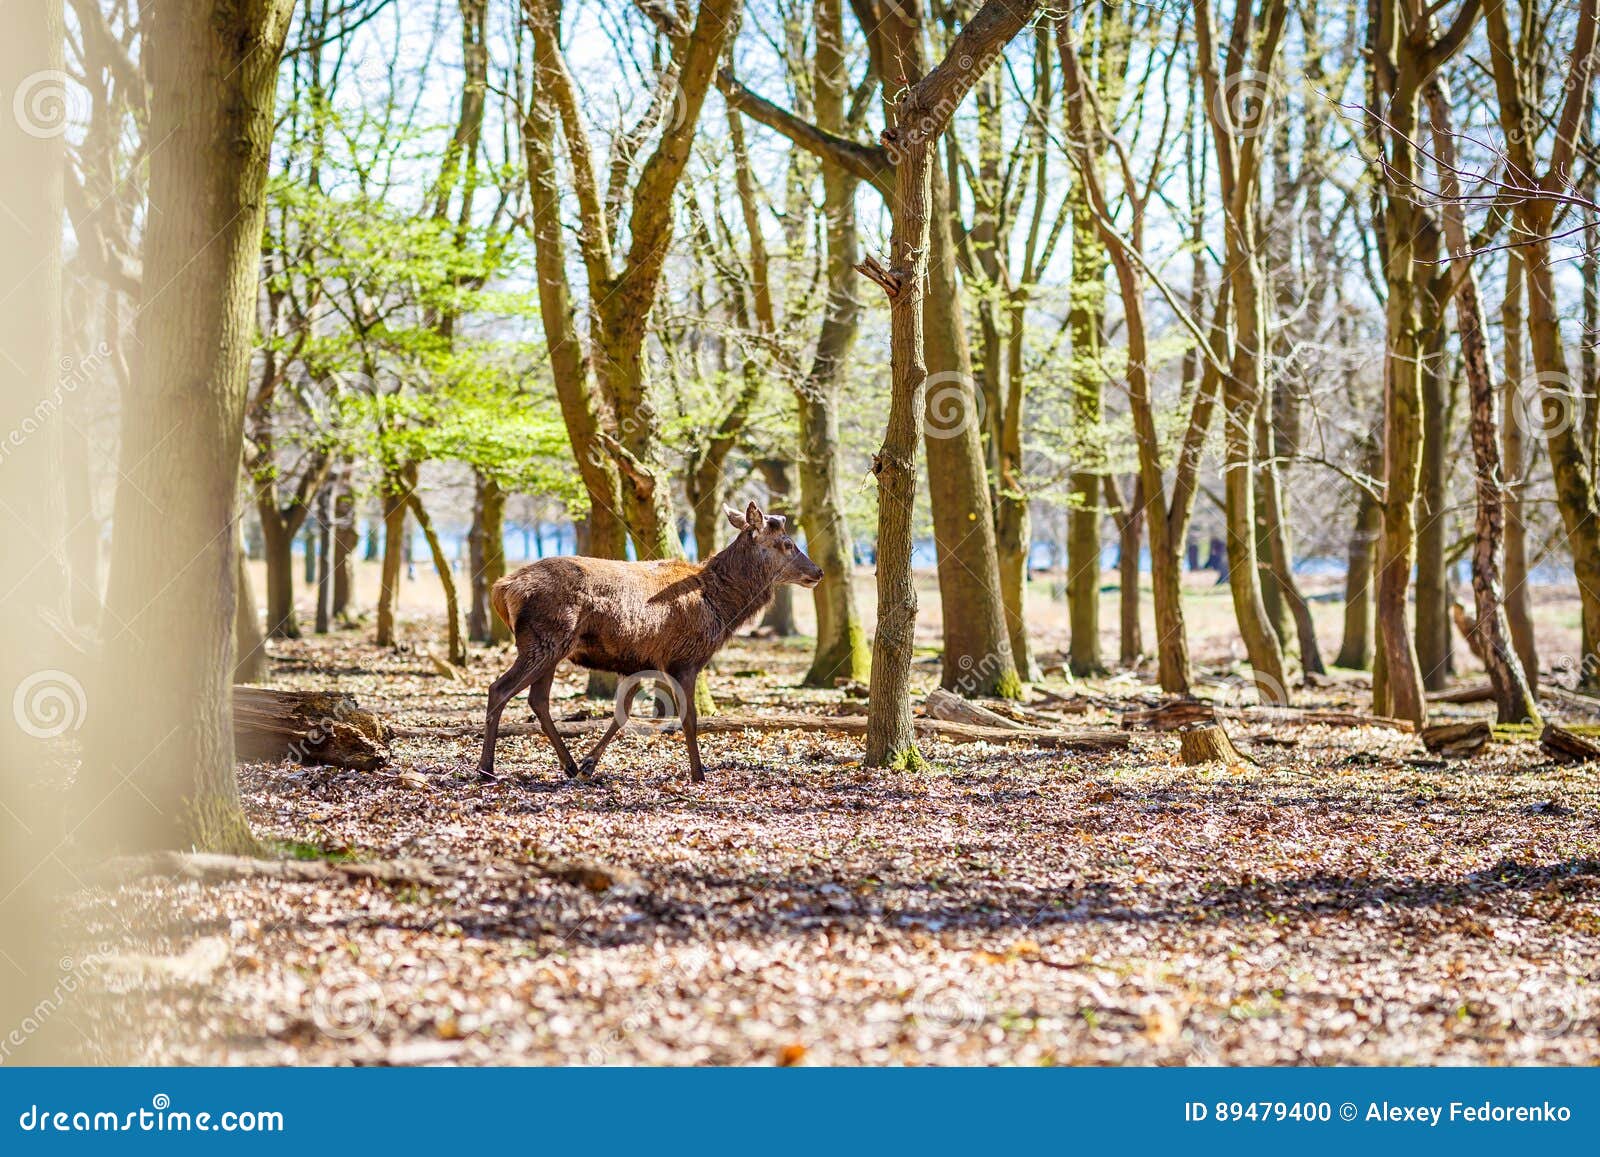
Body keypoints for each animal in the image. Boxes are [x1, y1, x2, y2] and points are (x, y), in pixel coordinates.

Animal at [479, 500, 824, 784]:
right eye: (787, 544)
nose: (818, 571)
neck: (719, 605)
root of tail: (502, 588)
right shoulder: (683, 659)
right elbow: (688, 717)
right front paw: (699, 773)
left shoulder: (639, 661)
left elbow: (623, 712)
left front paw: (589, 765)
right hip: (543, 640)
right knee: (499, 688)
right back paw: (487, 769)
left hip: (551, 648)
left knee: (538, 699)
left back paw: (569, 764)